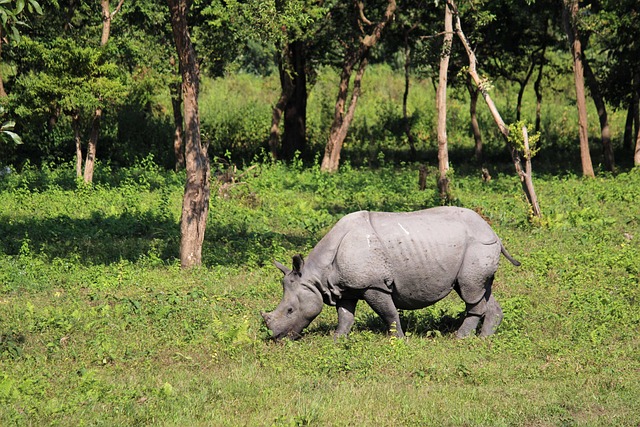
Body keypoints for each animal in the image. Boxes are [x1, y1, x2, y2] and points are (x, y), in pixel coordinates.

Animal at [262, 207, 520, 340]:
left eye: (290, 310)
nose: (276, 337)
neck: (317, 276)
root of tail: (493, 231)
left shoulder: (374, 285)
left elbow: (389, 313)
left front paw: (399, 340)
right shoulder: (345, 287)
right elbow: (345, 316)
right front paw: (337, 340)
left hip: (477, 245)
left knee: (470, 291)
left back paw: (459, 339)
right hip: (478, 246)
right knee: (481, 289)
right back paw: (484, 339)